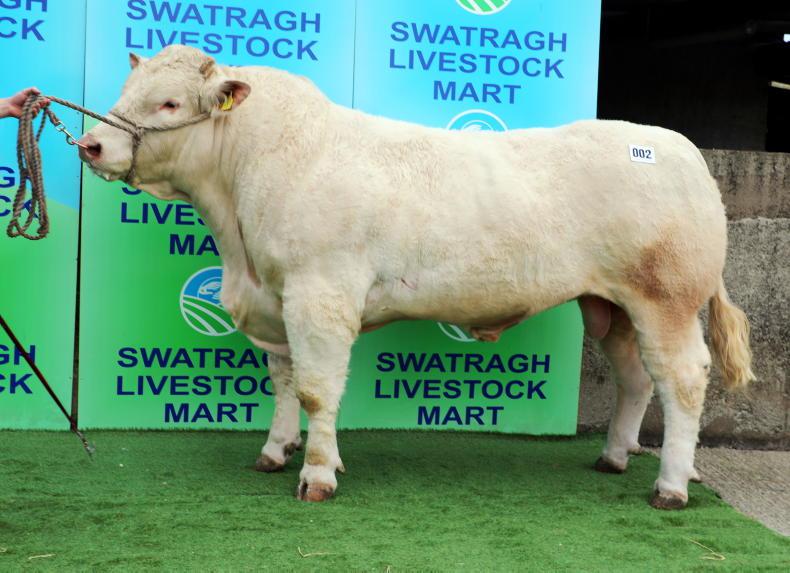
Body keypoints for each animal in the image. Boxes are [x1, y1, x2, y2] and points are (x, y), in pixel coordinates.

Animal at [78, 45, 755, 509]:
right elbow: (285, 381)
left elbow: (317, 388)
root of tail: (683, 150)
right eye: (127, 88)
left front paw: (317, 475)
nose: (91, 145)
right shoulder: (277, 298)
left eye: (169, 103)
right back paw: (614, 457)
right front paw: (275, 451)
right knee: (636, 377)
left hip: (666, 298)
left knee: (683, 379)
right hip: (609, 304)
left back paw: (671, 485)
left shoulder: (319, 293)